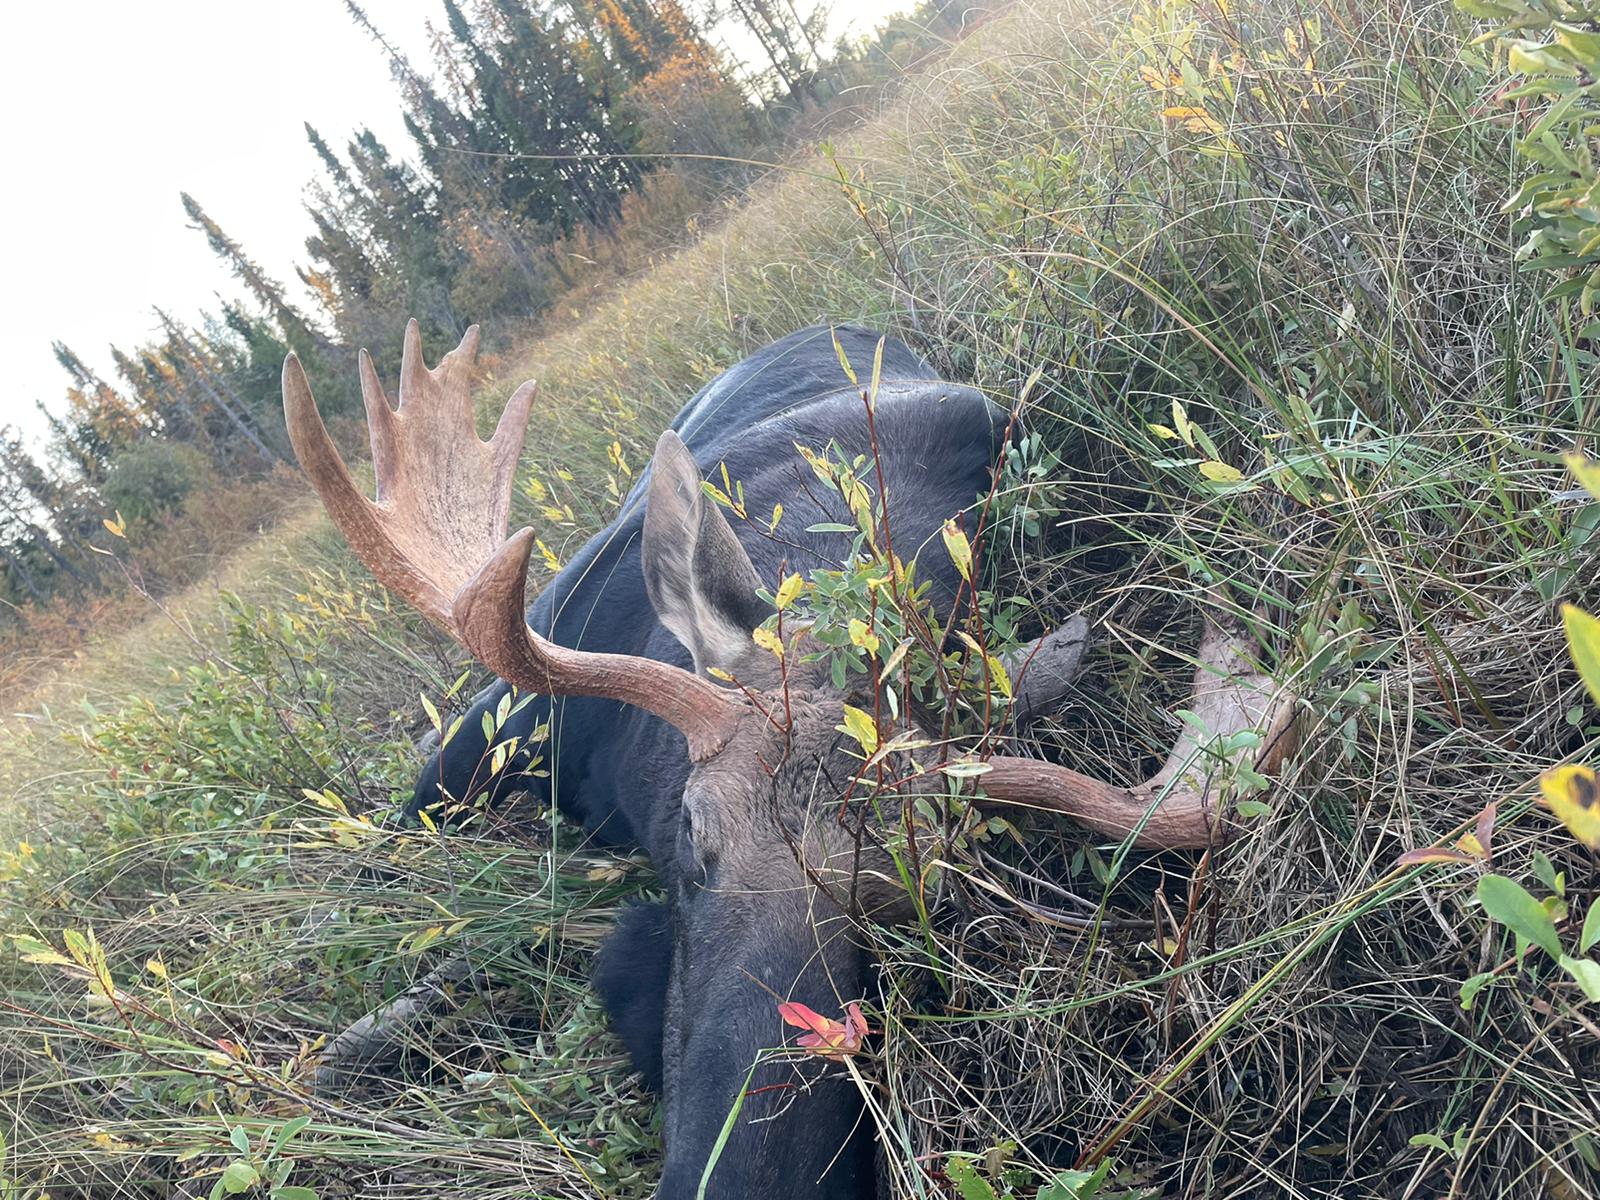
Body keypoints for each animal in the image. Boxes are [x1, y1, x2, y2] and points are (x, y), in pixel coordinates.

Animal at [282, 320, 1293, 1199]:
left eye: (907, 904)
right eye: (693, 835)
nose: (742, 1182)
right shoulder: (490, 729)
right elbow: (397, 875)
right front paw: (347, 1042)